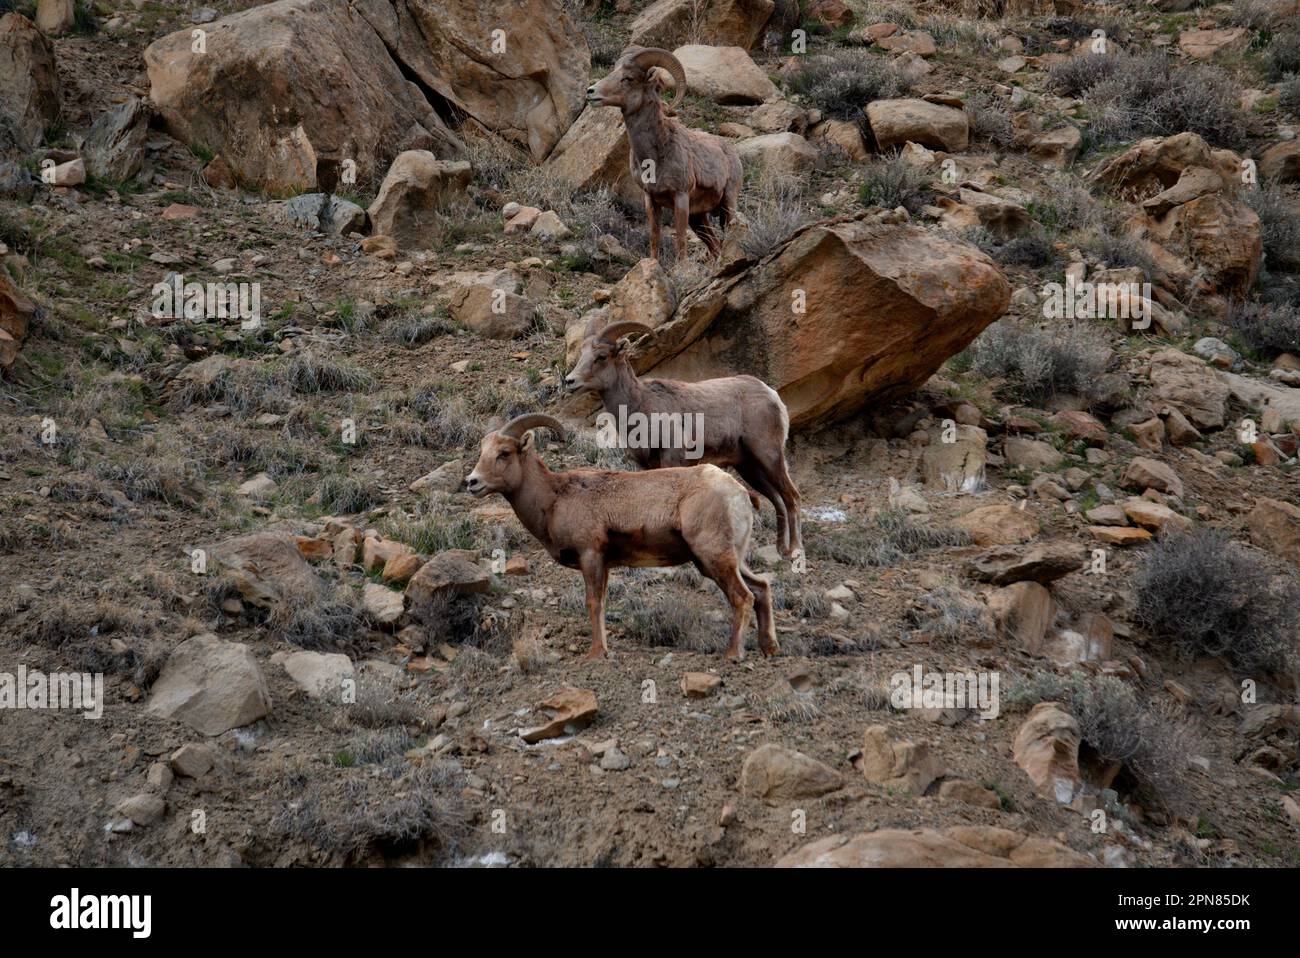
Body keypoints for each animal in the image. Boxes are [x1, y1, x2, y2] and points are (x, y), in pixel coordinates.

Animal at [465, 413, 777, 662]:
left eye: (504, 453)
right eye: (483, 452)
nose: (472, 482)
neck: (553, 499)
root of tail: (740, 493)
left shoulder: (591, 556)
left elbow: (594, 603)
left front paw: (596, 654)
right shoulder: (603, 564)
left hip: (713, 556)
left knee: (743, 597)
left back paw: (733, 654)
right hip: (723, 560)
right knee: (761, 588)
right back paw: (768, 648)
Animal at [565, 320, 804, 560]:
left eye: (601, 356)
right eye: (582, 354)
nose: (570, 381)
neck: (640, 406)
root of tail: (772, 395)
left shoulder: (672, 459)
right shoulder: (645, 466)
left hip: (768, 455)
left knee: (791, 497)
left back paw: (793, 551)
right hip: (749, 467)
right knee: (777, 499)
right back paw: (781, 550)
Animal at [586, 47, 743, 263]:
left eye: (628, 78)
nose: (591, 92)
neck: (654, 157)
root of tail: (733, 154)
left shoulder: (681, 197)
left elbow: (681, 239)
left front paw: (681, 268)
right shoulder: (651, 200)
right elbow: (654, 237)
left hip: (728, 203)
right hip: (699, 218)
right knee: (715, 246)